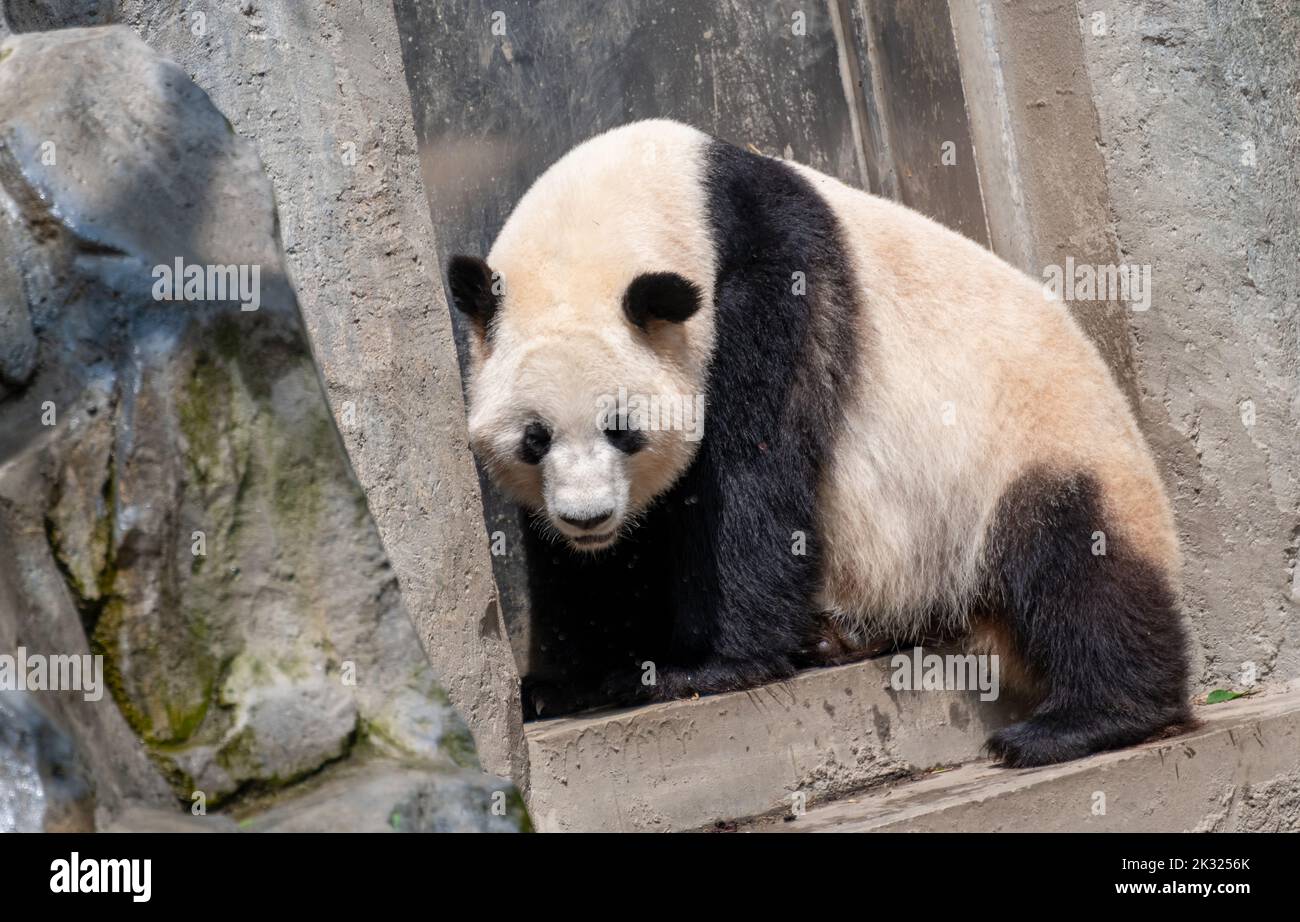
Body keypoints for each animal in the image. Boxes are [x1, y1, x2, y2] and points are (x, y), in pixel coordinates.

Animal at [447, 119, 1192, 767]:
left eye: (623, 429)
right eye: (534, 439)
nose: (589, 518)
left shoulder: (777, 283)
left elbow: (754, 471)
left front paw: (705, 667)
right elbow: (593, 561)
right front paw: (567, 679)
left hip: (1038, 446)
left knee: (1076, 560)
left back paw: (1087, 720)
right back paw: (836, 640)